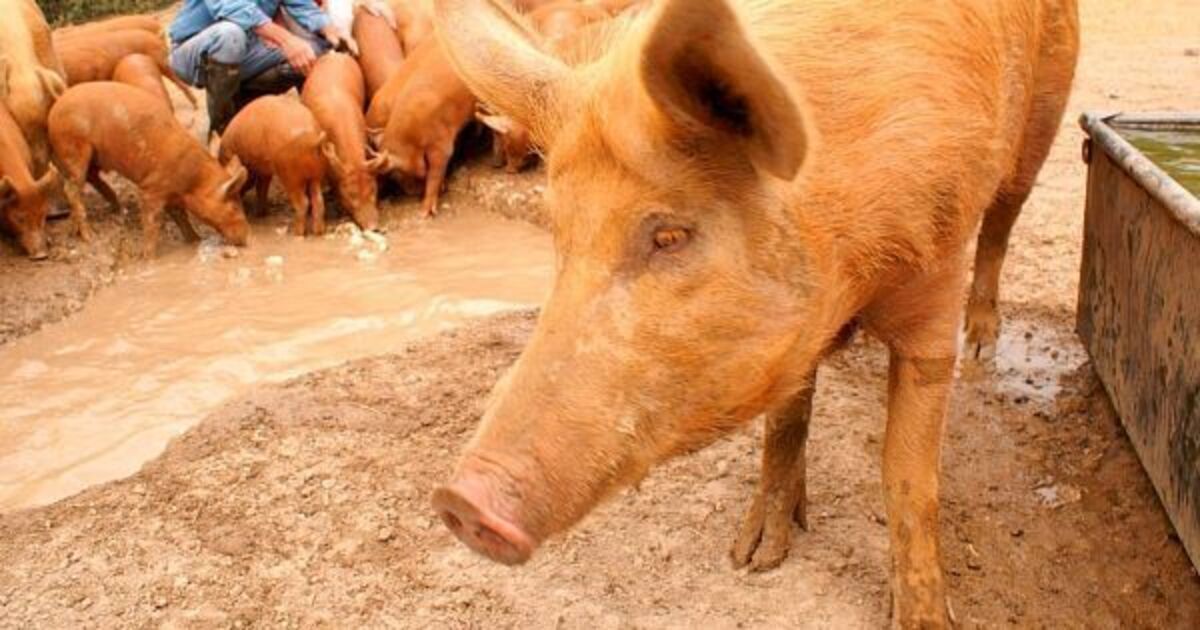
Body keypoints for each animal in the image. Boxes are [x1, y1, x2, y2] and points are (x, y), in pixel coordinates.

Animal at [48, 82, 250, 256]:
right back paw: (89, 236)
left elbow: (181, 217)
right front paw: (148, 257)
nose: (247, 239)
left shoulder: (173, 195)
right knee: (71, 188)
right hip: (73, 146)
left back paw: (110, 212)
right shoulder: (152, 188)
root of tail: (59, 101)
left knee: (90, 178)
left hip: (92, 155)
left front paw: (195, 241)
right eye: (234, 207)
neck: (193, 181)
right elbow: (152, 223)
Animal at [219, 92, 330, 236]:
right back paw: (318, 232)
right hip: (316, 175)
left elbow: (260, 187)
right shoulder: (264, 171)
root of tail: (314, 139)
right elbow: (262, 188)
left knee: (303, 202)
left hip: (290, 177)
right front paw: (261, 213)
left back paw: (297, 232)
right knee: (318, 200)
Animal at [430, 0, 1079, 627]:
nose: (461, 501)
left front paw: (924, 620)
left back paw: (984, 346)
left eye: (669, 236)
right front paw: (753, 558)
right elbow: (786, 418)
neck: (850, 267)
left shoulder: (935, 279)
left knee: (1005, 219)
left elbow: (908, 475)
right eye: (559, 234)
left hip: (1045, 112)